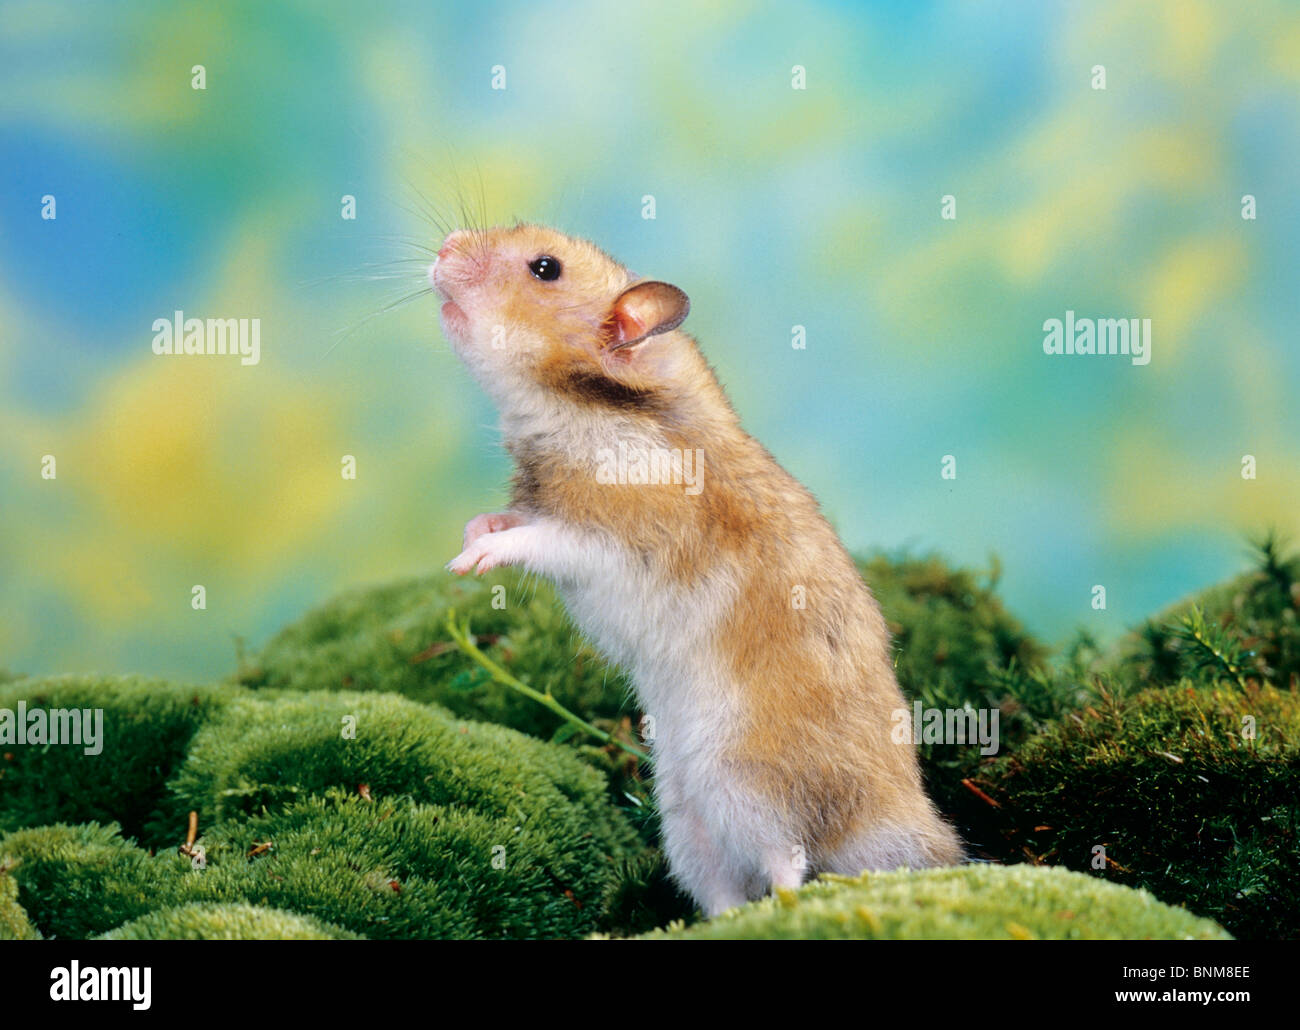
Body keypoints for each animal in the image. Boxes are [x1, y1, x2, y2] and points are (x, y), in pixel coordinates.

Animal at [432, 223, 964, 916]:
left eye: (545, 269)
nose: (443, 248)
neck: (591, 406)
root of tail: (897, 825)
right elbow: (500, 519)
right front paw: (467, 540)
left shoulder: (615, 539)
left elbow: (537, 539)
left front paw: (464, 565)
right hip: (685, 820)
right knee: (726, 888)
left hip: (744, 784)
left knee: (791, 859)